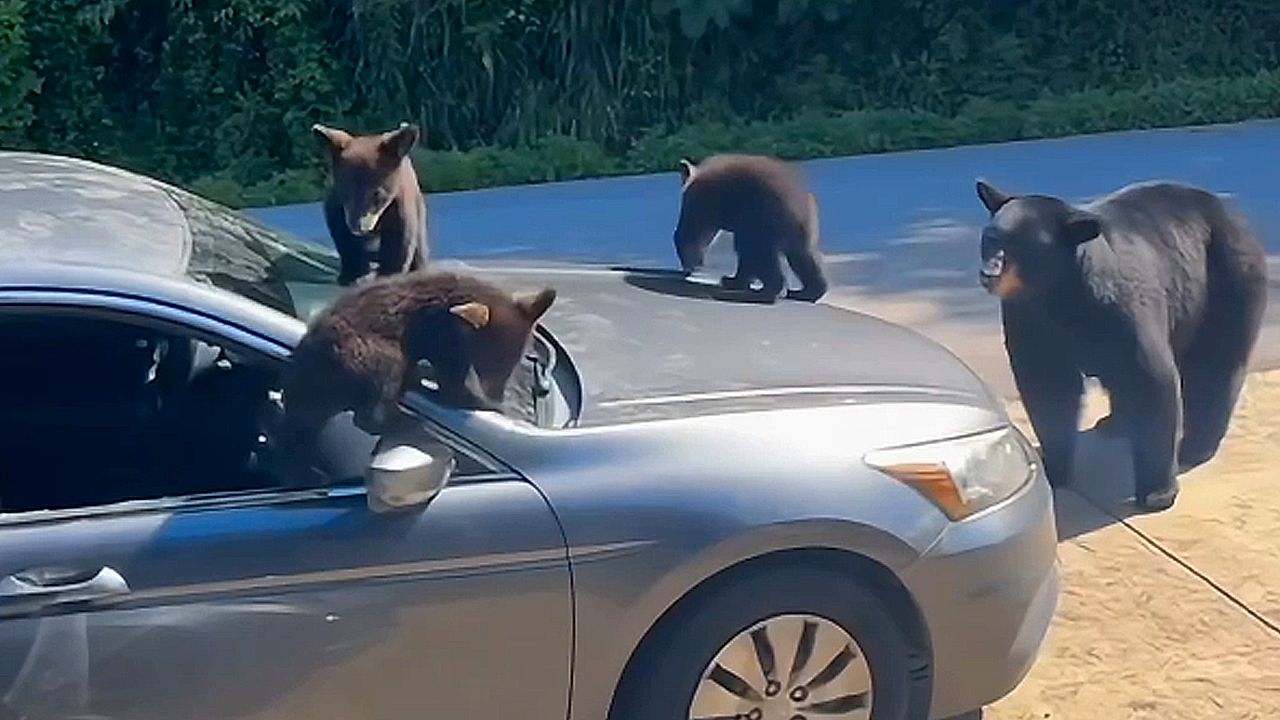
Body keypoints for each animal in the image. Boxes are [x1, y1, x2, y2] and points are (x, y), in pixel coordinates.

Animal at [271, 270, 556, 477]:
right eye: (490, 364)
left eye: (512, 362)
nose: (496, 393)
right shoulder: (443, 337)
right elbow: (451, 377)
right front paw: (480, 401)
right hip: (355, 352)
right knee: (382, 379)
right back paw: (403, 418)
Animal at [312, 121, 430, 286]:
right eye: (346, 189)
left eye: (377, 193)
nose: (359, 226)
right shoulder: (337, 206)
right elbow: (342, 236)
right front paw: (351, 274)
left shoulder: (399, 204)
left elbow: (399, 241)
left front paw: (388, 274)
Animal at [673, 153, 828, 303]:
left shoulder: (704, 201)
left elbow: (694, 230)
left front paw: (691, 262)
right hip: (803, 230)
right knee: (803, 257)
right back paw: (807, 292)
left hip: (761, 217)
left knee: (755, 252)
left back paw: (763, 290)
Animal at [974, 178, 1267, 510]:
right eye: (991, 237)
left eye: (1022, 246)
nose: (989, 274)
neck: (1059, 293)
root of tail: (1231, 212)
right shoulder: (1030, 318)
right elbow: (1048, 387)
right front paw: (1054, 469)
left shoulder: (1121, 308)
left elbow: (1149, 377)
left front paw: (1157, 493)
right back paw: (1116, 424)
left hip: (1225, 279)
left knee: (1214, 363)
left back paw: (1196, 446)